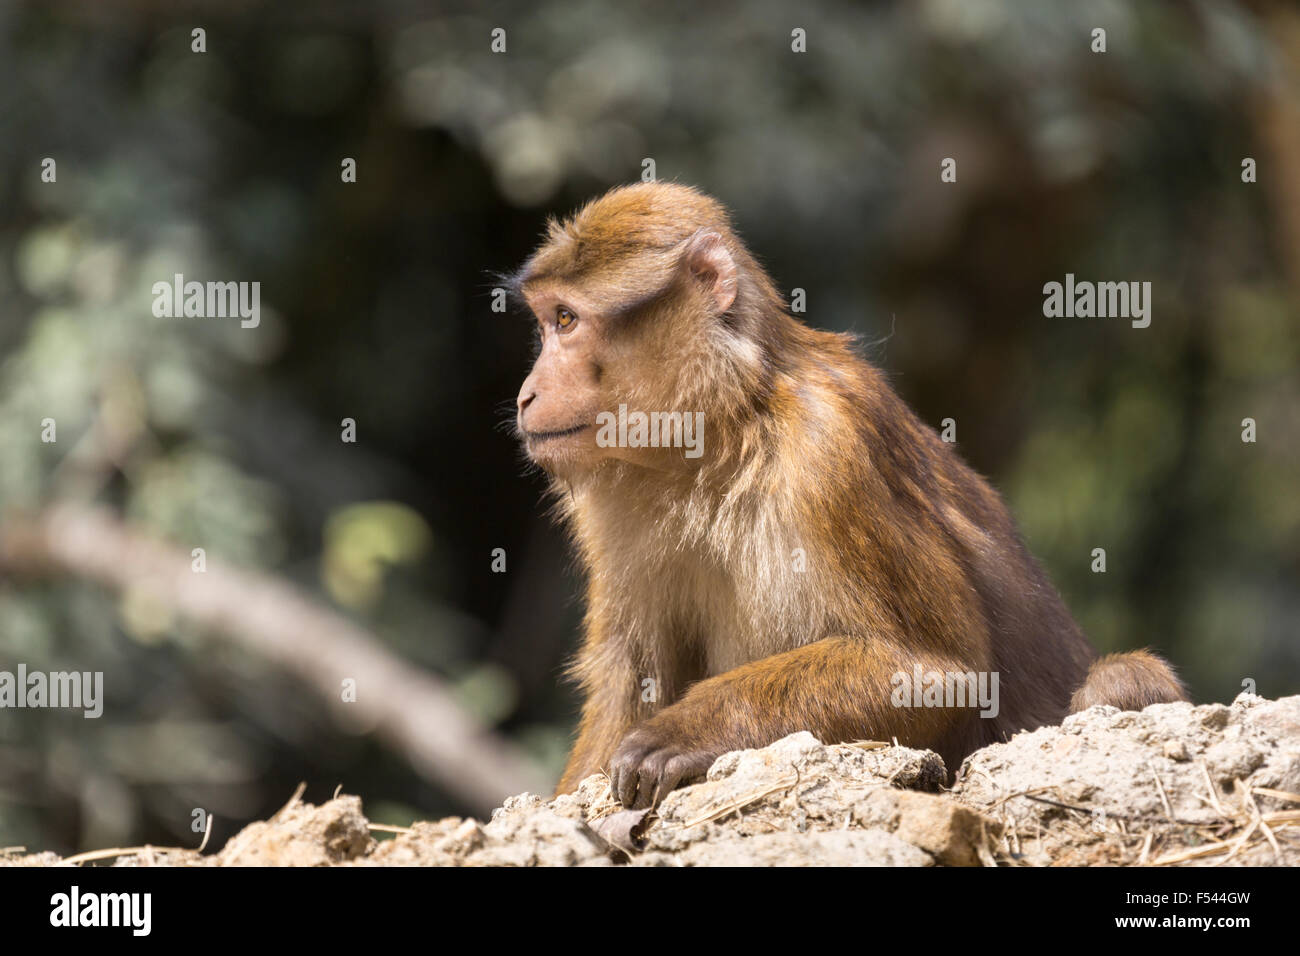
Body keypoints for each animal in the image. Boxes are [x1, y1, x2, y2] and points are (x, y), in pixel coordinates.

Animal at [509, 182, 1188, 809]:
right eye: (547, 322)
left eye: (566, 320)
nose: (525, 393)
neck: (717, 432)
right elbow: (631, 678)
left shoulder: (828, 454)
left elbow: (940, 672)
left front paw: (683, 730)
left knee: (1117, 685)